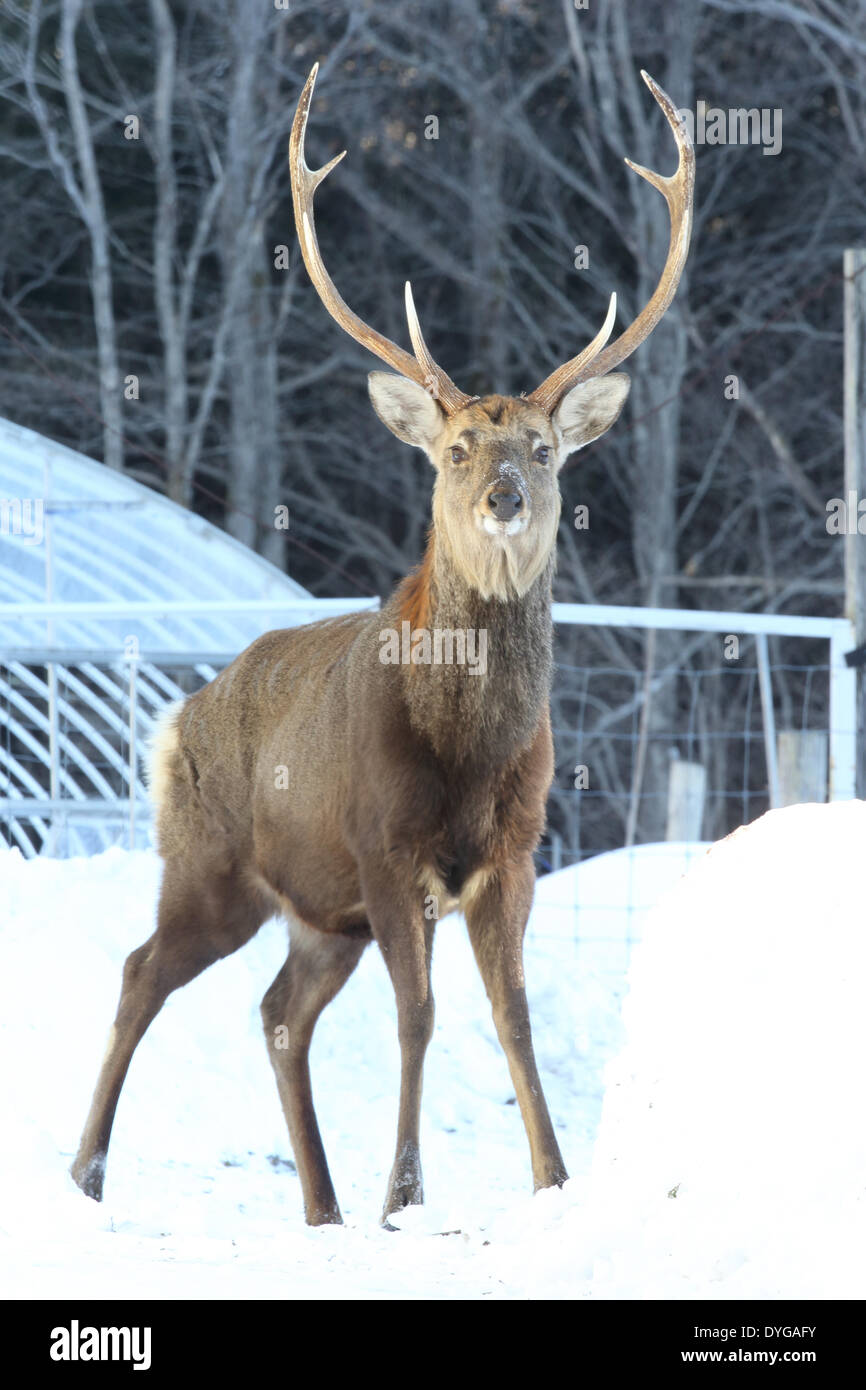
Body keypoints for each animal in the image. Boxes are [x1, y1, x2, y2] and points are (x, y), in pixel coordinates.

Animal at [70, 64, 693, 1227]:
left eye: (542, 448)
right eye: (455, 447)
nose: (504, 496)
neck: (467, 751)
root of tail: (176, 718)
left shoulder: (509, 853)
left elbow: (512, 1016)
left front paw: (551, 1180)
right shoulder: (382, 842)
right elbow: (421, 1014)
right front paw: (405, 1193)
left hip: (322, 915)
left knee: (277, 1009)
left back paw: (320, 1206)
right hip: (212, 863)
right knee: (139, 971)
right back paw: (86, 1174)